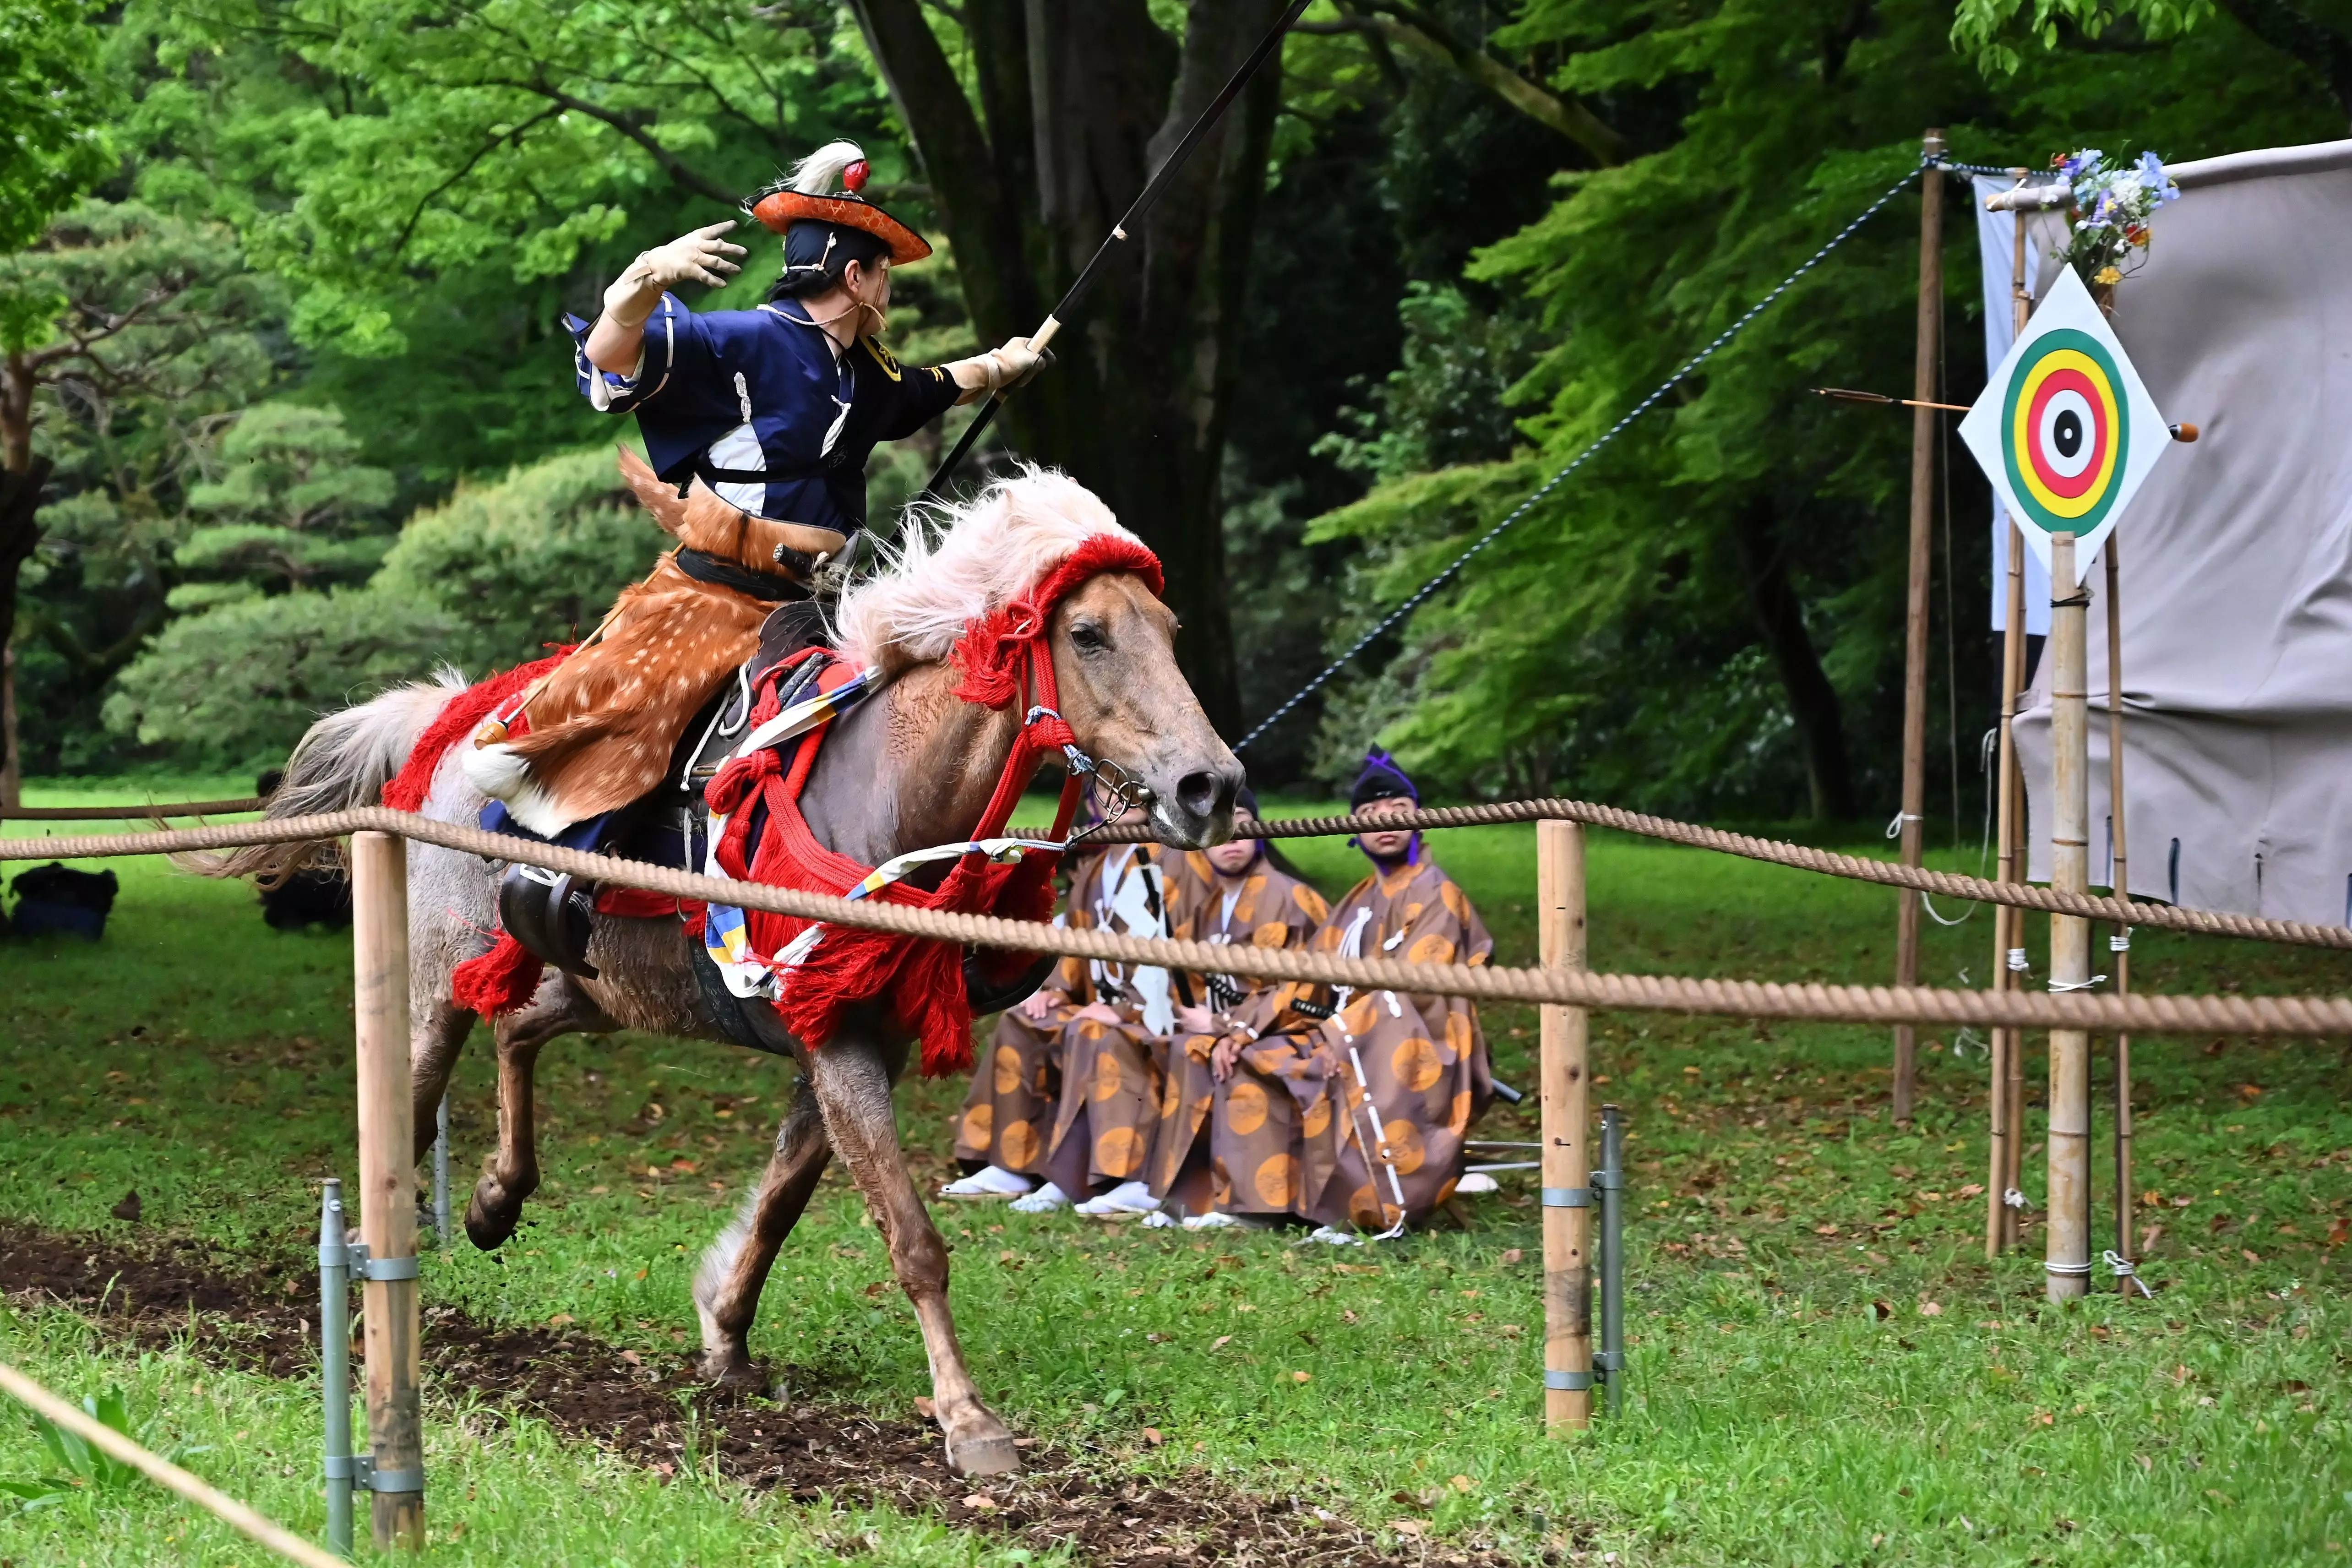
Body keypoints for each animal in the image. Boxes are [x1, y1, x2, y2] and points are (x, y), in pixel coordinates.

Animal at [216, 472, 1251, 1476]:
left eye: (1167, 631)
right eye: (1088, 634)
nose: (1212, 785)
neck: (883, 800)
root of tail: (452, 717)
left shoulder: (850, 1039)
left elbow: (787, 1201)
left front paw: (726, 1334)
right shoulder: (838, 1045)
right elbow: (912, 1235)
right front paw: (968, 1419)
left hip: (602, 983)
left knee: (521, 1027)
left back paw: (496, 1197)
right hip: (440, 969)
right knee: (423, 1088)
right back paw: (374, 1265)